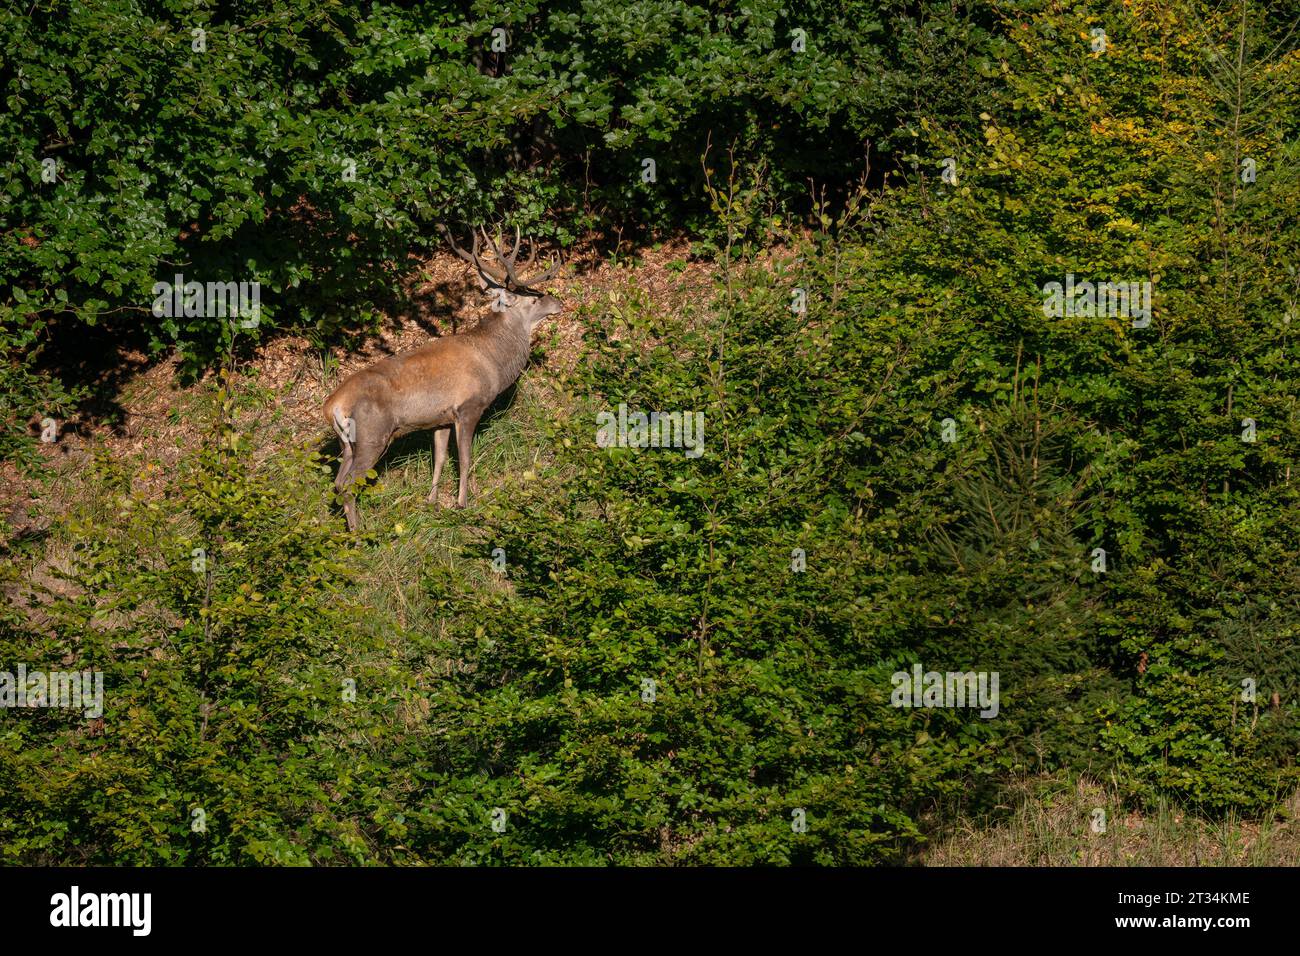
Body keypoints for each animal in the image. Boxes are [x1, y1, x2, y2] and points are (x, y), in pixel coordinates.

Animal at [323, 225, 563, 531]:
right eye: (533, 298)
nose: (558, 302)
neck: (493, 360)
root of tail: (332, 406)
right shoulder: (468, 407)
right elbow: (465, 458)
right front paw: (462, 503)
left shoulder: (440, 419)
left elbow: (438, 458)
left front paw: (432, 501)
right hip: (372, 434)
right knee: (349, 484)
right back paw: (359, 531)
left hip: (347, 443)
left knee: (337, 482)